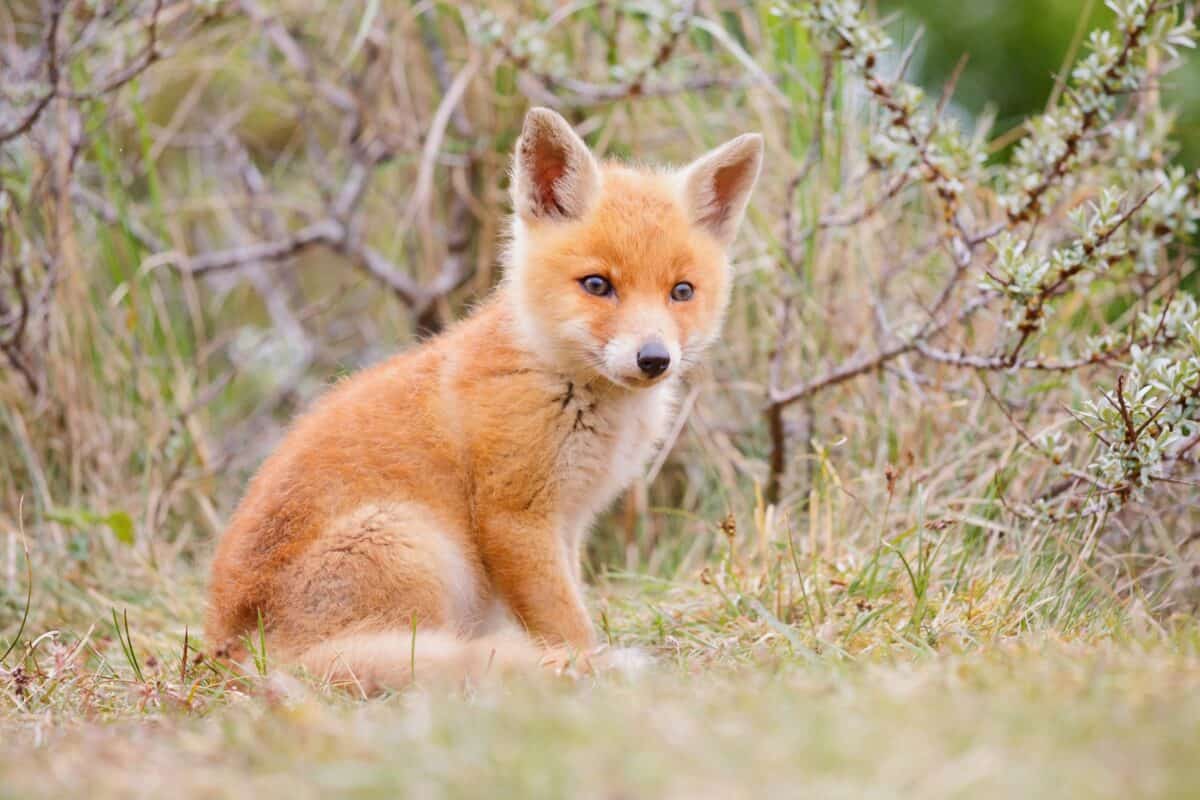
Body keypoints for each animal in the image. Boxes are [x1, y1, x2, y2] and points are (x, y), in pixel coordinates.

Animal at [205, 107, 763, 692]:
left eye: (682, 292)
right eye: (596, 285)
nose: (654, 359)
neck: (559, 384)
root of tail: (235, 653)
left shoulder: (569, 522)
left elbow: (573, 607)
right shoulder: (515, 516)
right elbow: (567, 625)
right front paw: (587, 671)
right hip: (415, 545)